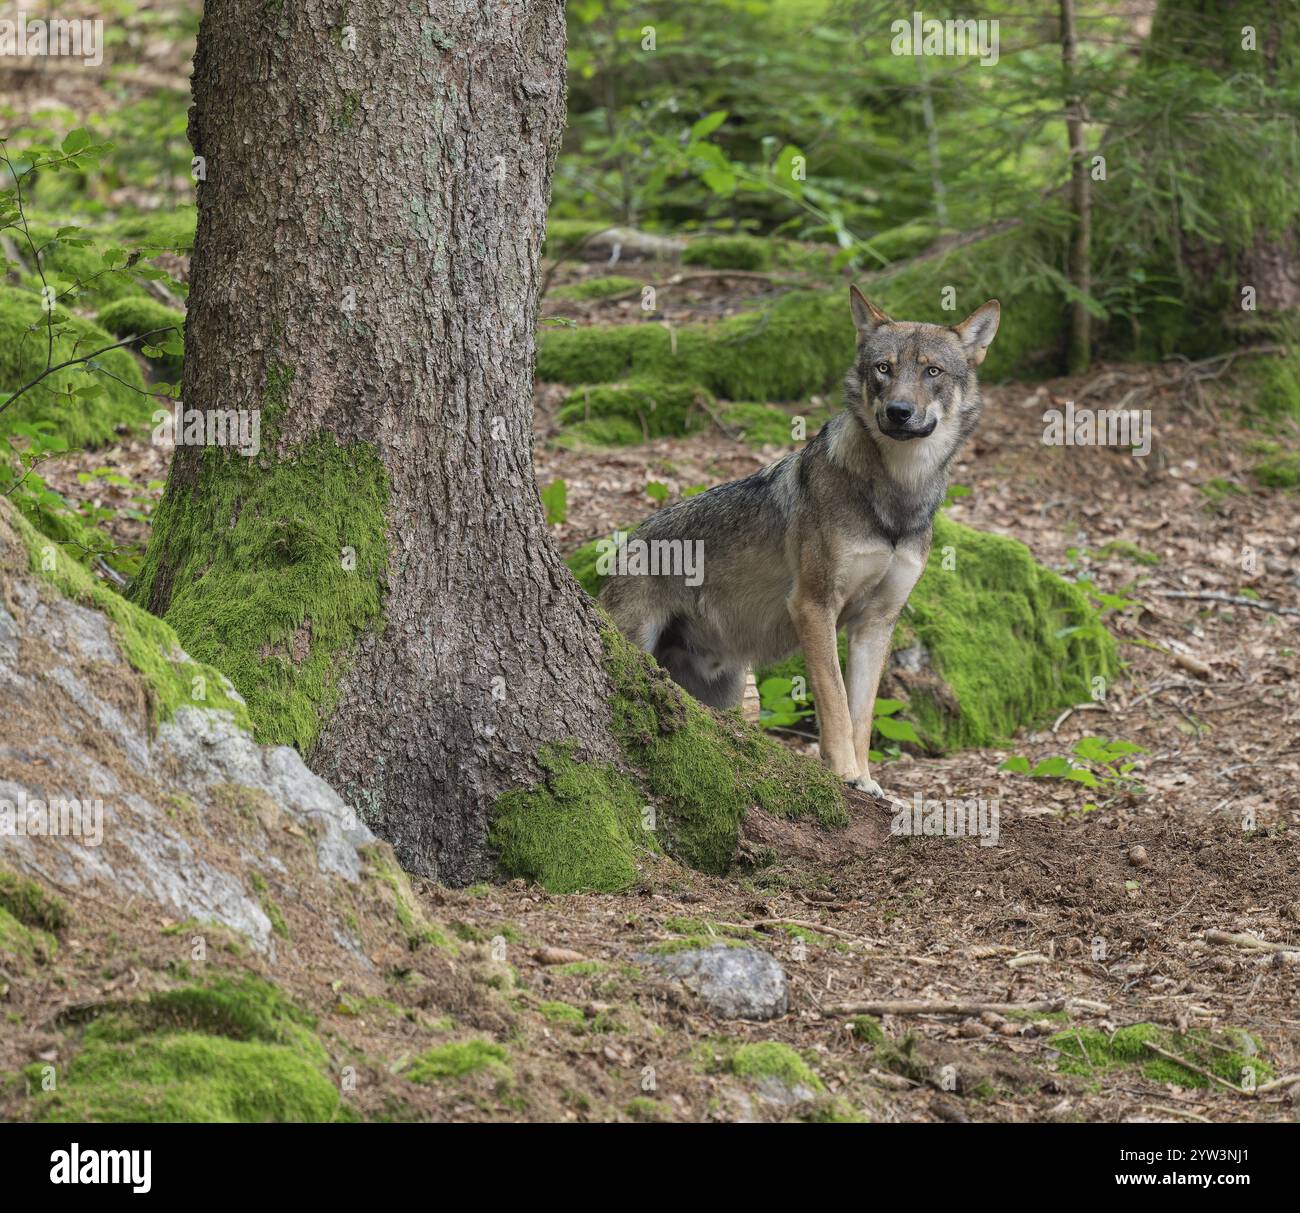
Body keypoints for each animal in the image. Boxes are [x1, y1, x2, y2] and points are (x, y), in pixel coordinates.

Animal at [600, 286, 1000, 797]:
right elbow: (835, 703)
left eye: (932, 371)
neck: (897, 496)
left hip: (725, 691)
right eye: (883, 368)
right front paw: (845, 773)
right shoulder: (814, 605)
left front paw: (867, 779)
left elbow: (862, 714)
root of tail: (624, 544)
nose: (898, 412)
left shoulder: (876, 623)